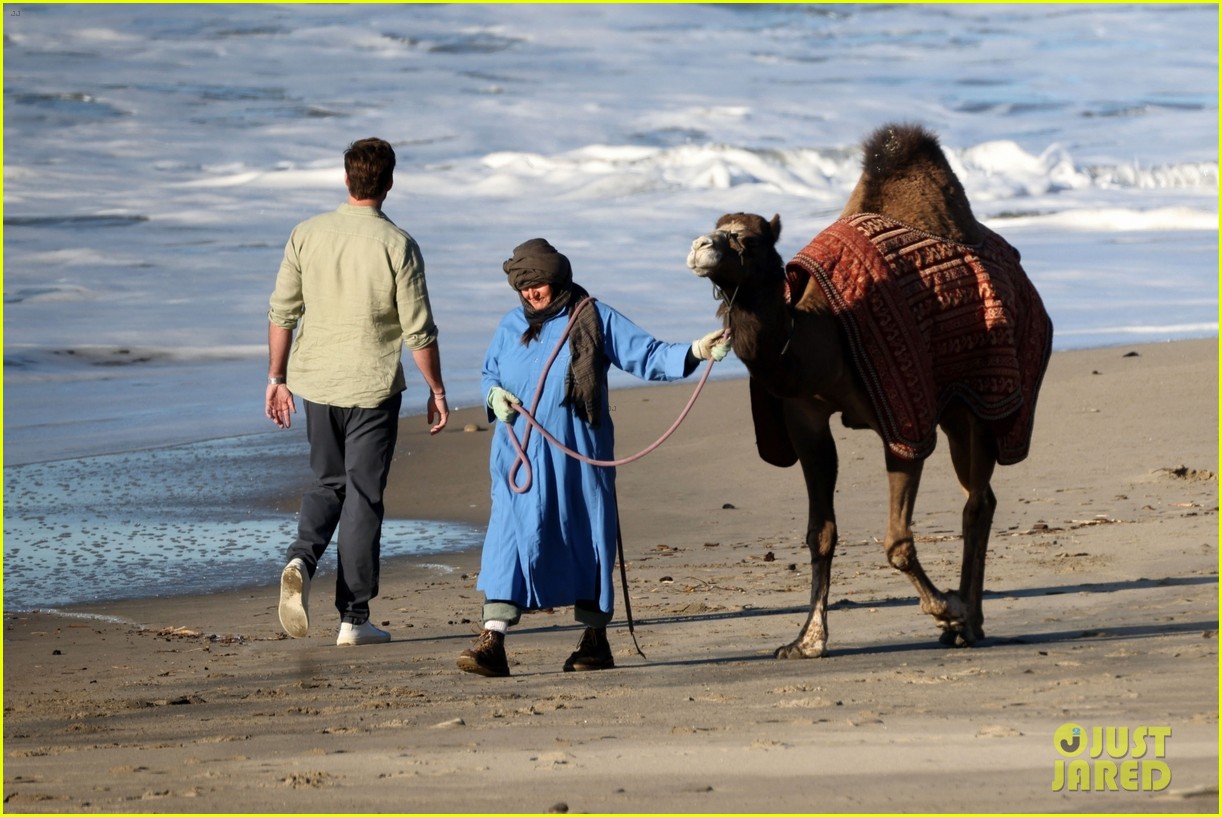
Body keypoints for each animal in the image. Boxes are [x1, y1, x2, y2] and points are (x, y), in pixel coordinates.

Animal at [686, 123, 1052, 657]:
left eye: (747, 239)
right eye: (717, 225)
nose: (700, 246)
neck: (820, 337)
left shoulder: (905, 417)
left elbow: (897, 540)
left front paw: (948, 609)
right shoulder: (805, 419)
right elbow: (820, 533)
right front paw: (805, 640)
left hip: (980, 400)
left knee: (977, 501)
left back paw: (967, 620)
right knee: (980, 498)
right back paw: (972, 621)